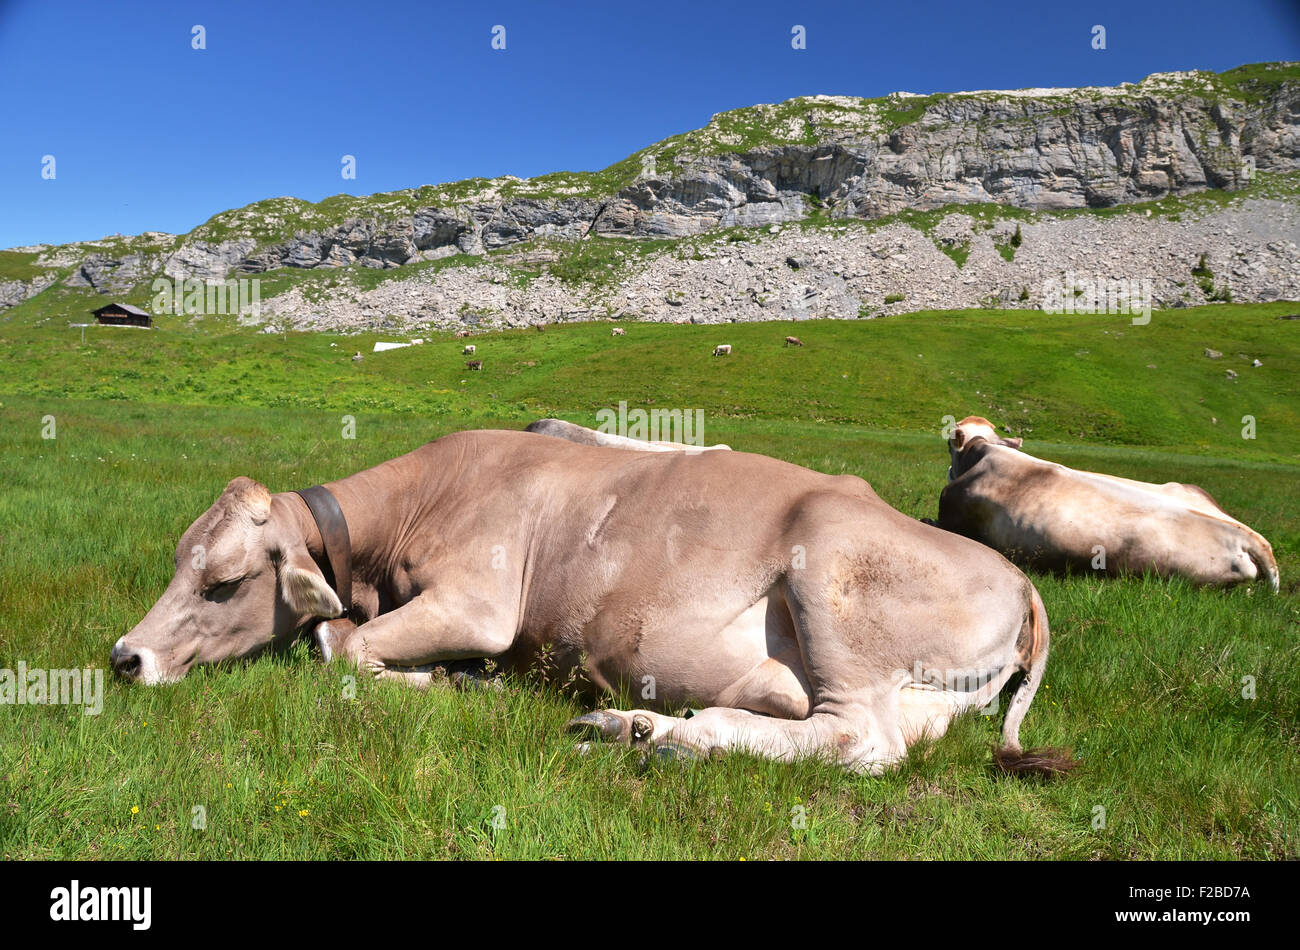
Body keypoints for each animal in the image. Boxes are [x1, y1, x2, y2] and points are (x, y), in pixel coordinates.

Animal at [110, 428, 1072, 776]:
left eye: (222, 582)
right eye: (177, 562)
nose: (125, 657)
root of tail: (1018, 578)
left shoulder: (479, 603)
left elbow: (339, 650)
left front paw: (452, 681)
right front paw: (470, 680)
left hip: (832, 576)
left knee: (859, 741)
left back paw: (659, 733)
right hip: (923, 697)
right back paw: (631, 724)